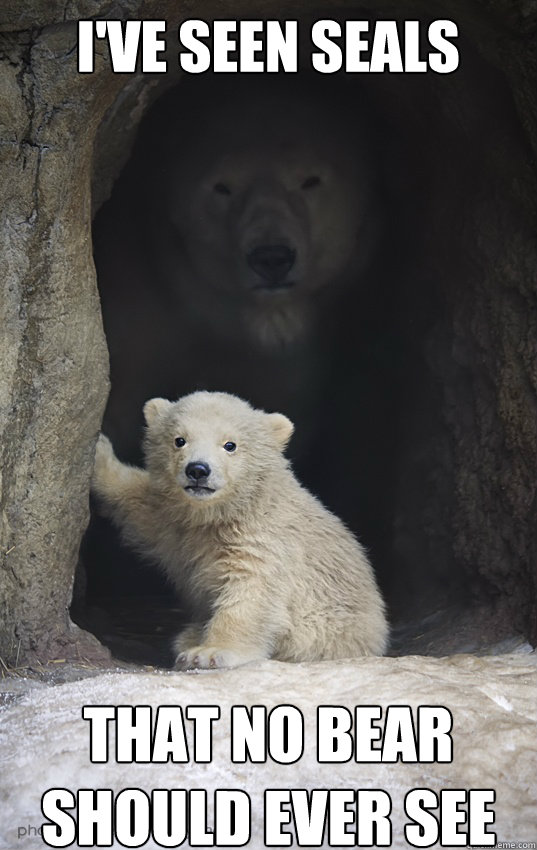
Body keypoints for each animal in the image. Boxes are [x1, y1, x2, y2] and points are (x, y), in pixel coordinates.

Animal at [91, 391, 388, 668]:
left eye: (230, 445)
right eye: (179, 440)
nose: (198, 470)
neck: (223, 513)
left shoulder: (265, 539)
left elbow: (252, 592)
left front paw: (210, 652)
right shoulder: (174, 521)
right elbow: (140, 507)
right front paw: (99, 455)